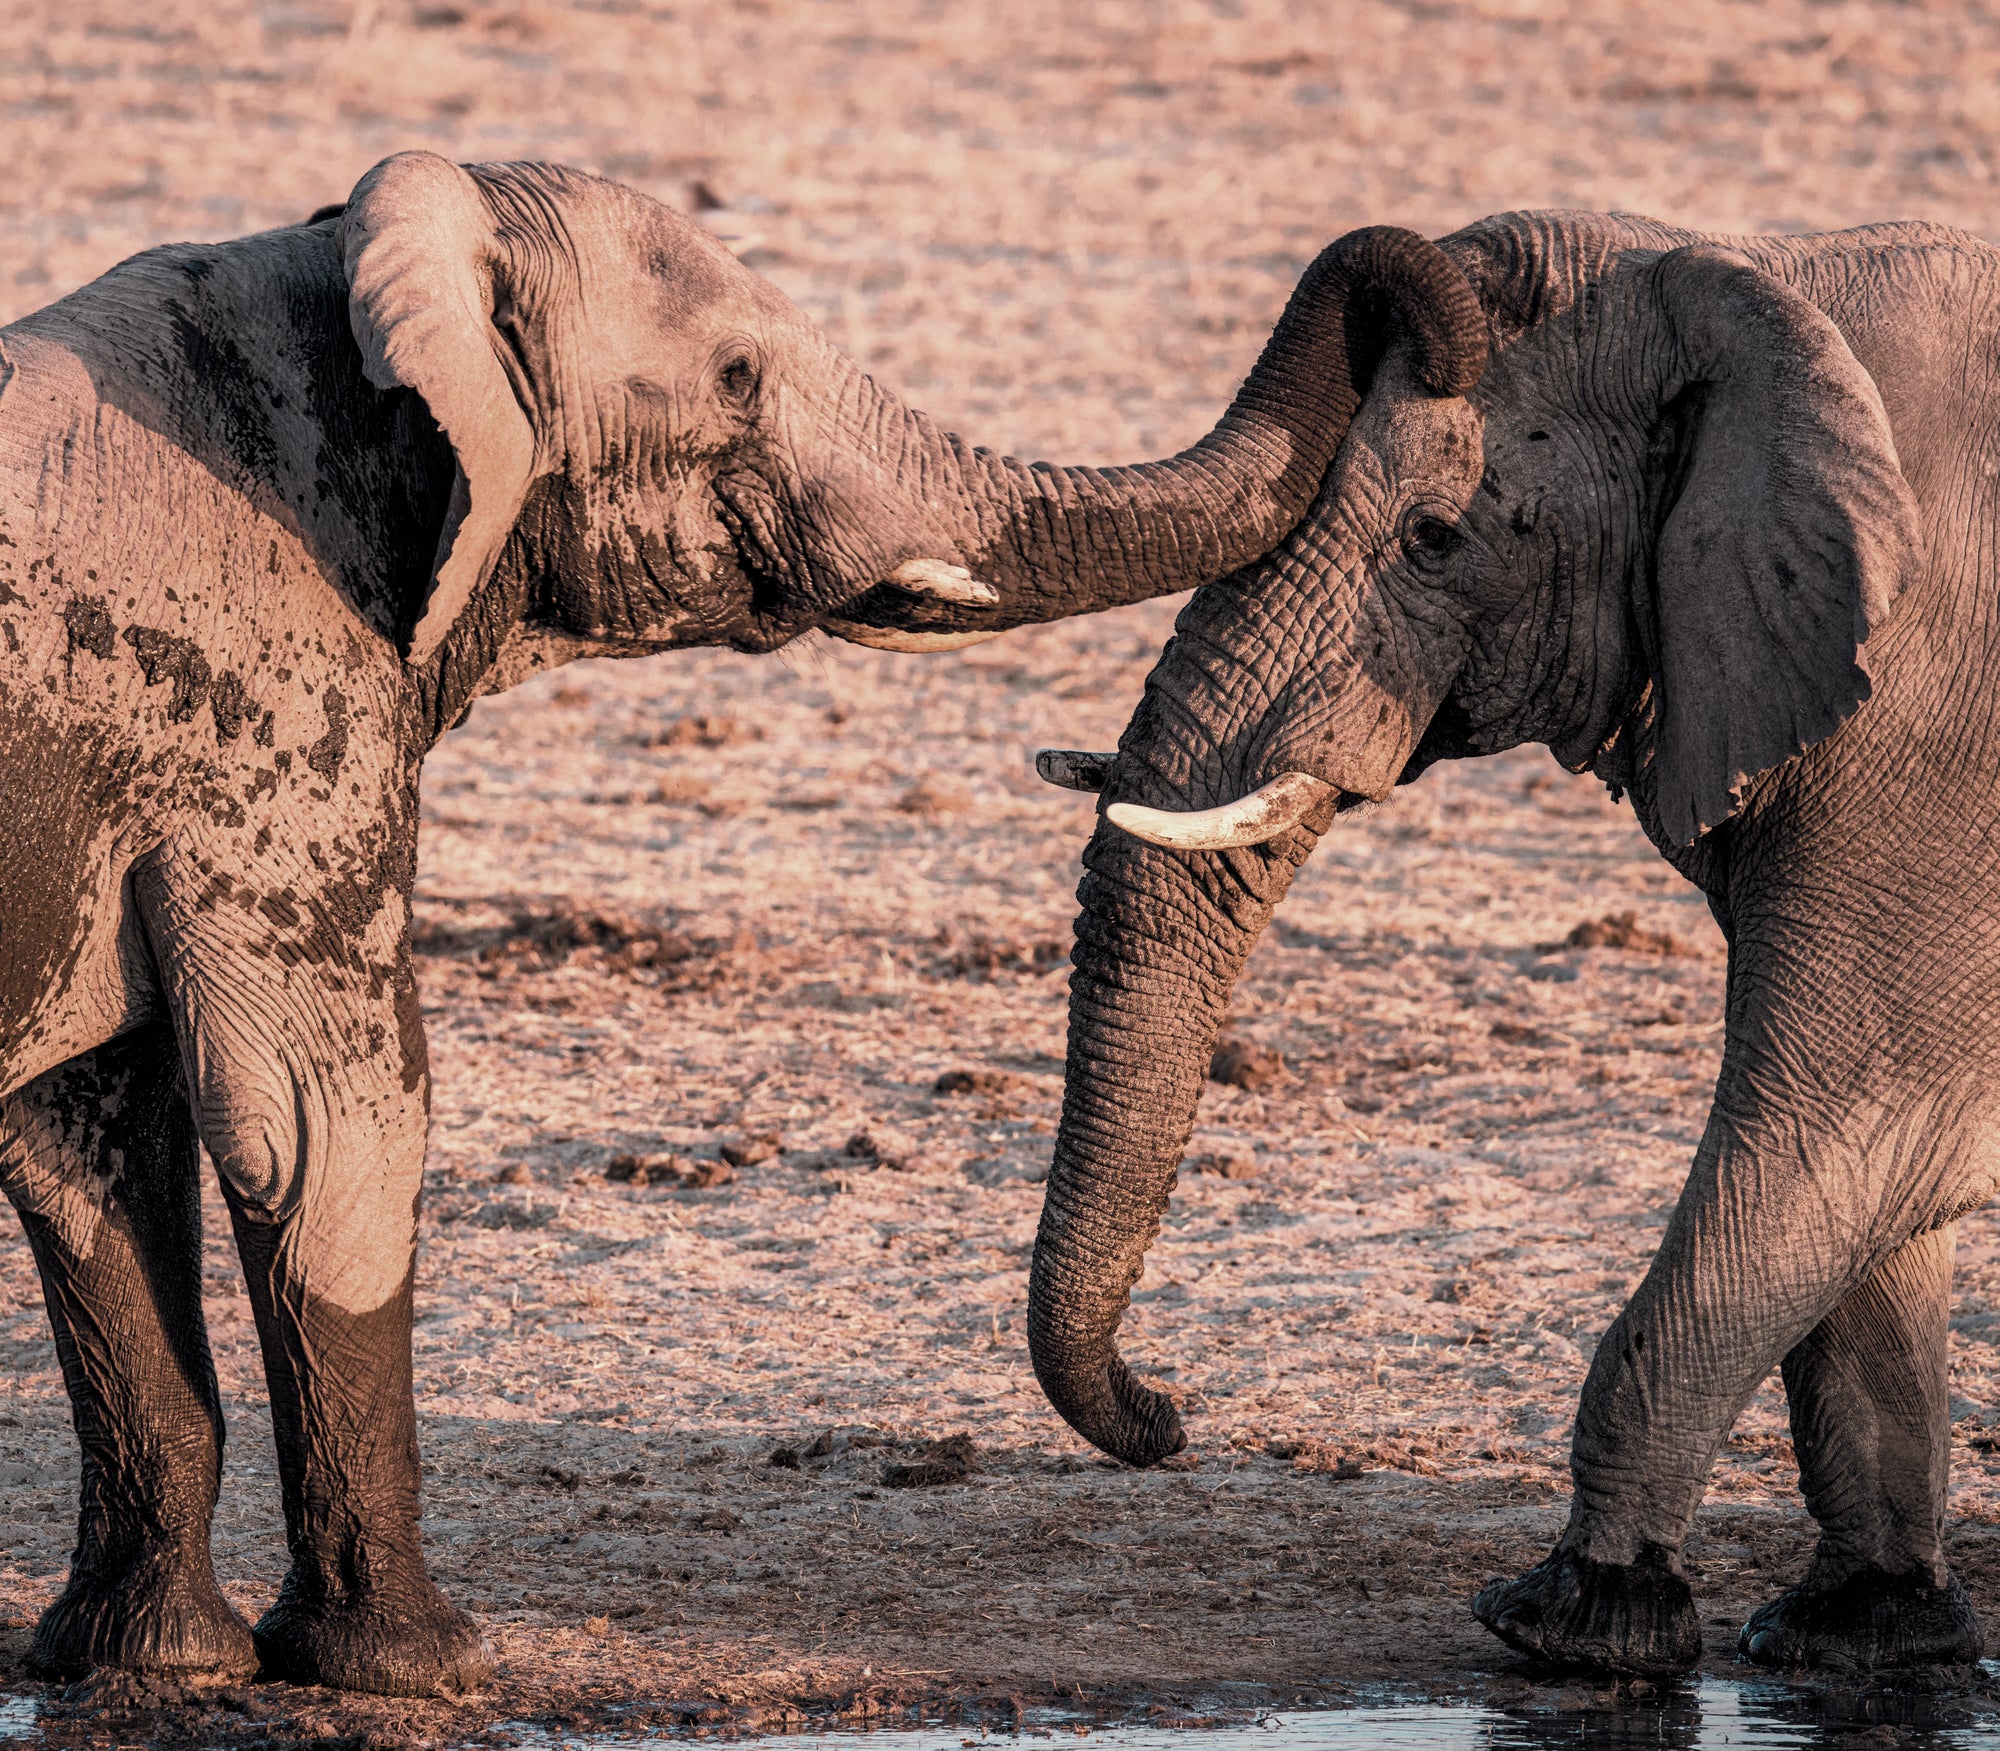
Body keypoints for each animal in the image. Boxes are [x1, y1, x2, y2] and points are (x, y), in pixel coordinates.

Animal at [0, 149, 1414, 1695]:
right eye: (736, 375)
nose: (1174, 1409)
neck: (345, 285)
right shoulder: (267, 718)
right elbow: (318, 1127)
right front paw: (420, 1669)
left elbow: (89, 1146)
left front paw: (152, 1664)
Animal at [1027, 209, 2000, 1676]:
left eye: (1433, 537)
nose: (1168, 1412)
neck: (1751, 283)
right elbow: (1873, 1192)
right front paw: (1862, 1635)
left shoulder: (1930, 744)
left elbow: (1846, 1124)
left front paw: (1570, 1626)